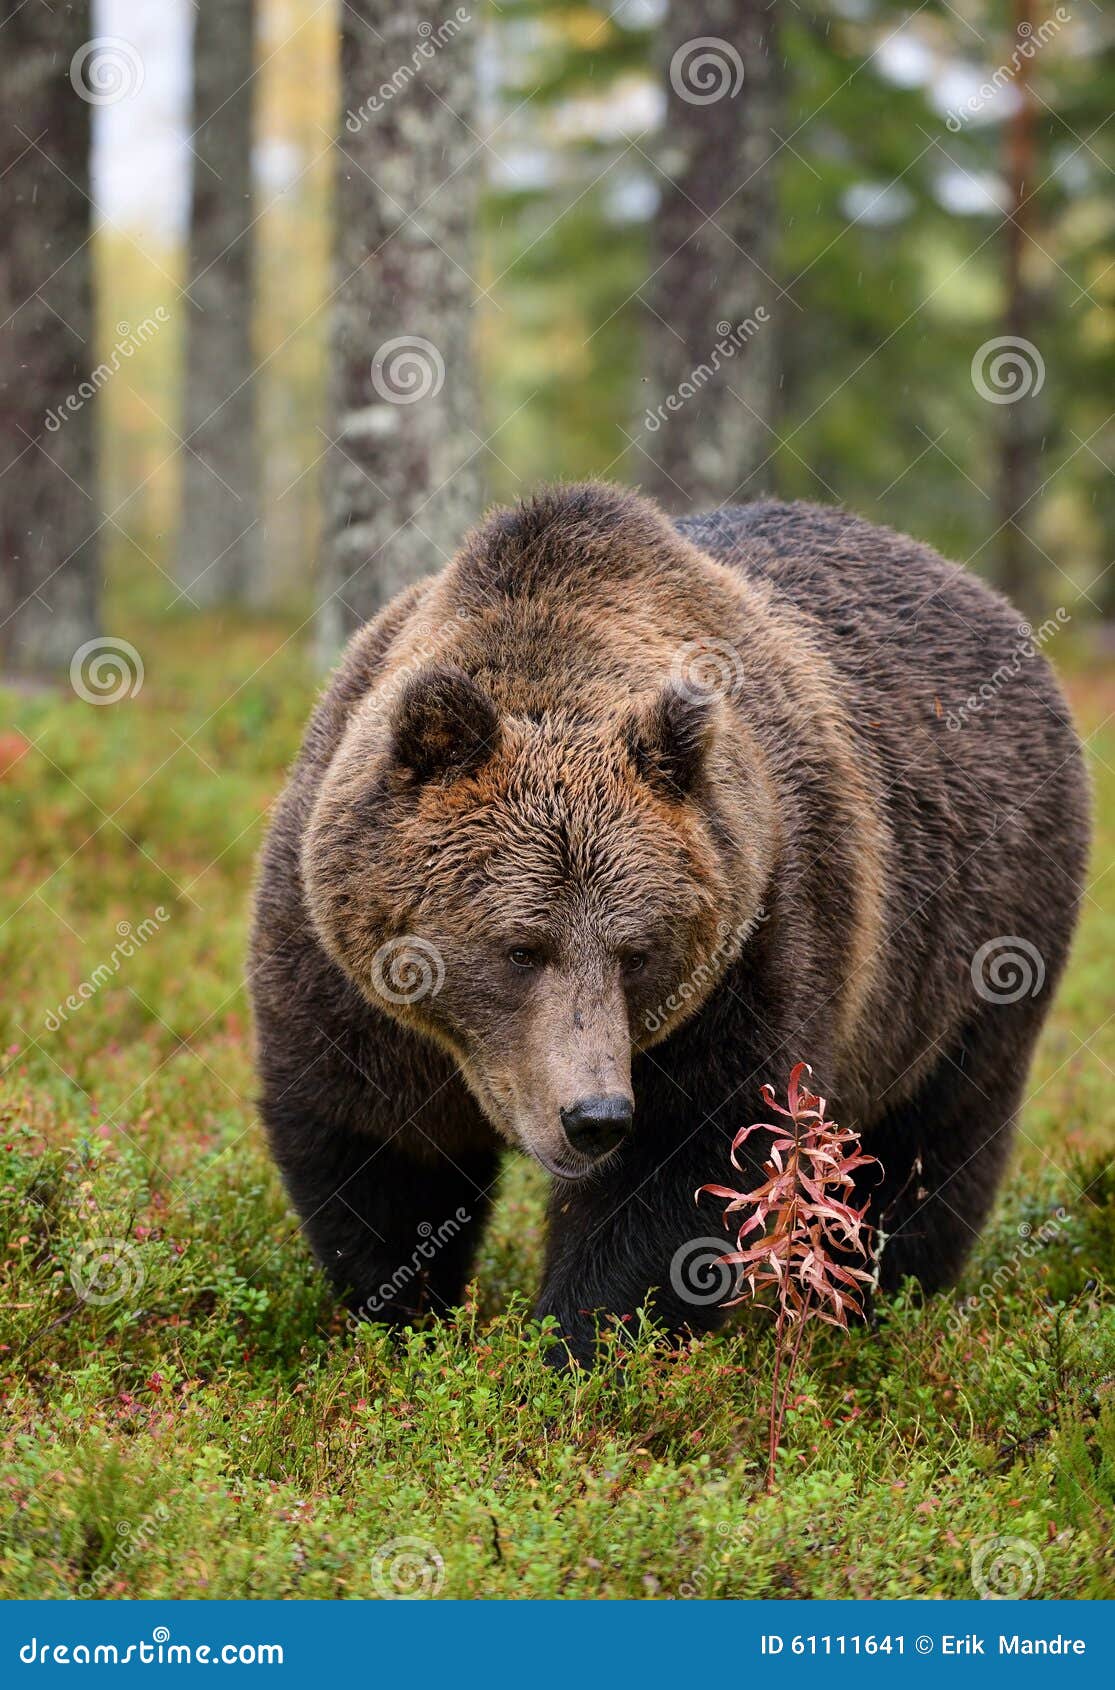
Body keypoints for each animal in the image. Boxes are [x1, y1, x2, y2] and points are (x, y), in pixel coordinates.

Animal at [249, 482, 1089, 1365]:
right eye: (520, 948)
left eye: (636, 952)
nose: (593, 1117)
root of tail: (984, 599)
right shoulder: (342, 965)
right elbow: (379, 1149)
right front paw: (405, 1322)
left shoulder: (759, 930)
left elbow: (683, 1171)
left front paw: (574, 1346)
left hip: (976, 943)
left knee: (927, 1145)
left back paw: (880, 1305)